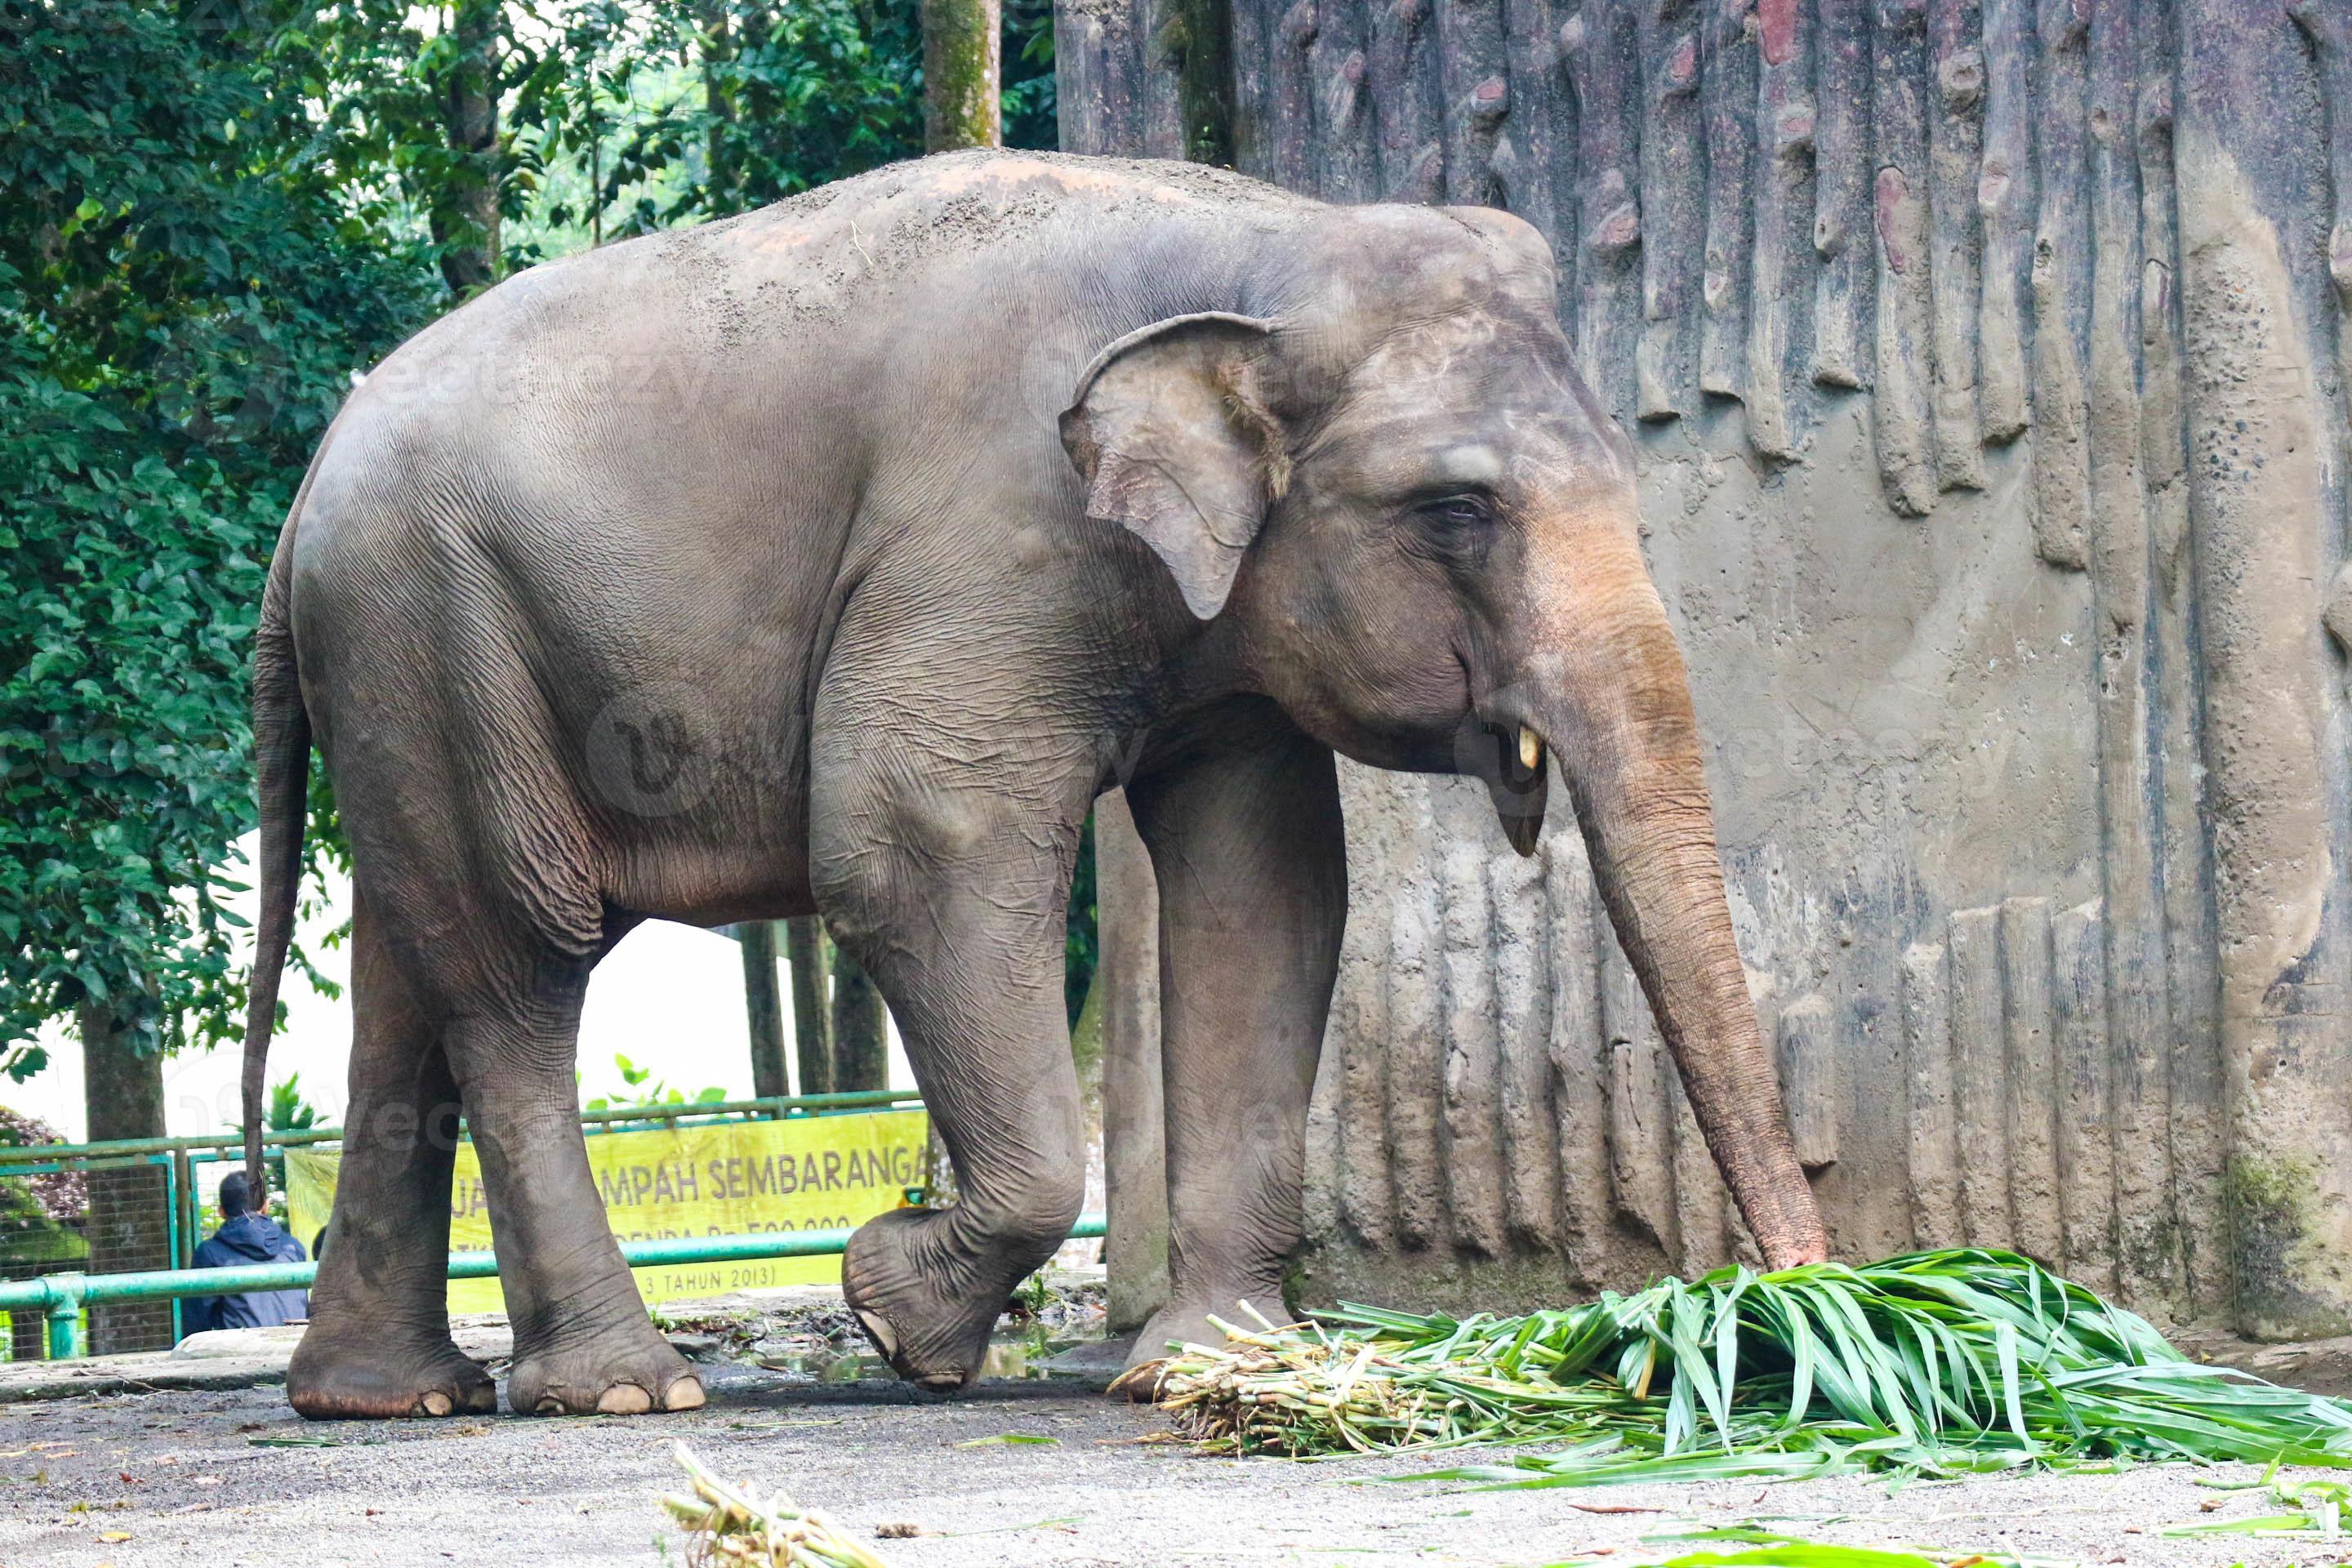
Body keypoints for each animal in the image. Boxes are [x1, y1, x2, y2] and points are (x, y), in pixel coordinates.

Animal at [239, 148, 1828, 1419]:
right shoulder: (994, 534)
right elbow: (911, 840)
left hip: (404, 672)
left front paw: (1211, 1365)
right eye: (1457, 510)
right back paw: (626, 1391)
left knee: (408, 980)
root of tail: (309, 479)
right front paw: (902, 1320)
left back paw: (384, 1399)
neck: (1266, 243)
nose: (1795, 1304)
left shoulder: (1215, 635)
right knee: (519, 966)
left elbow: (1267, 890)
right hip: (434, 624)